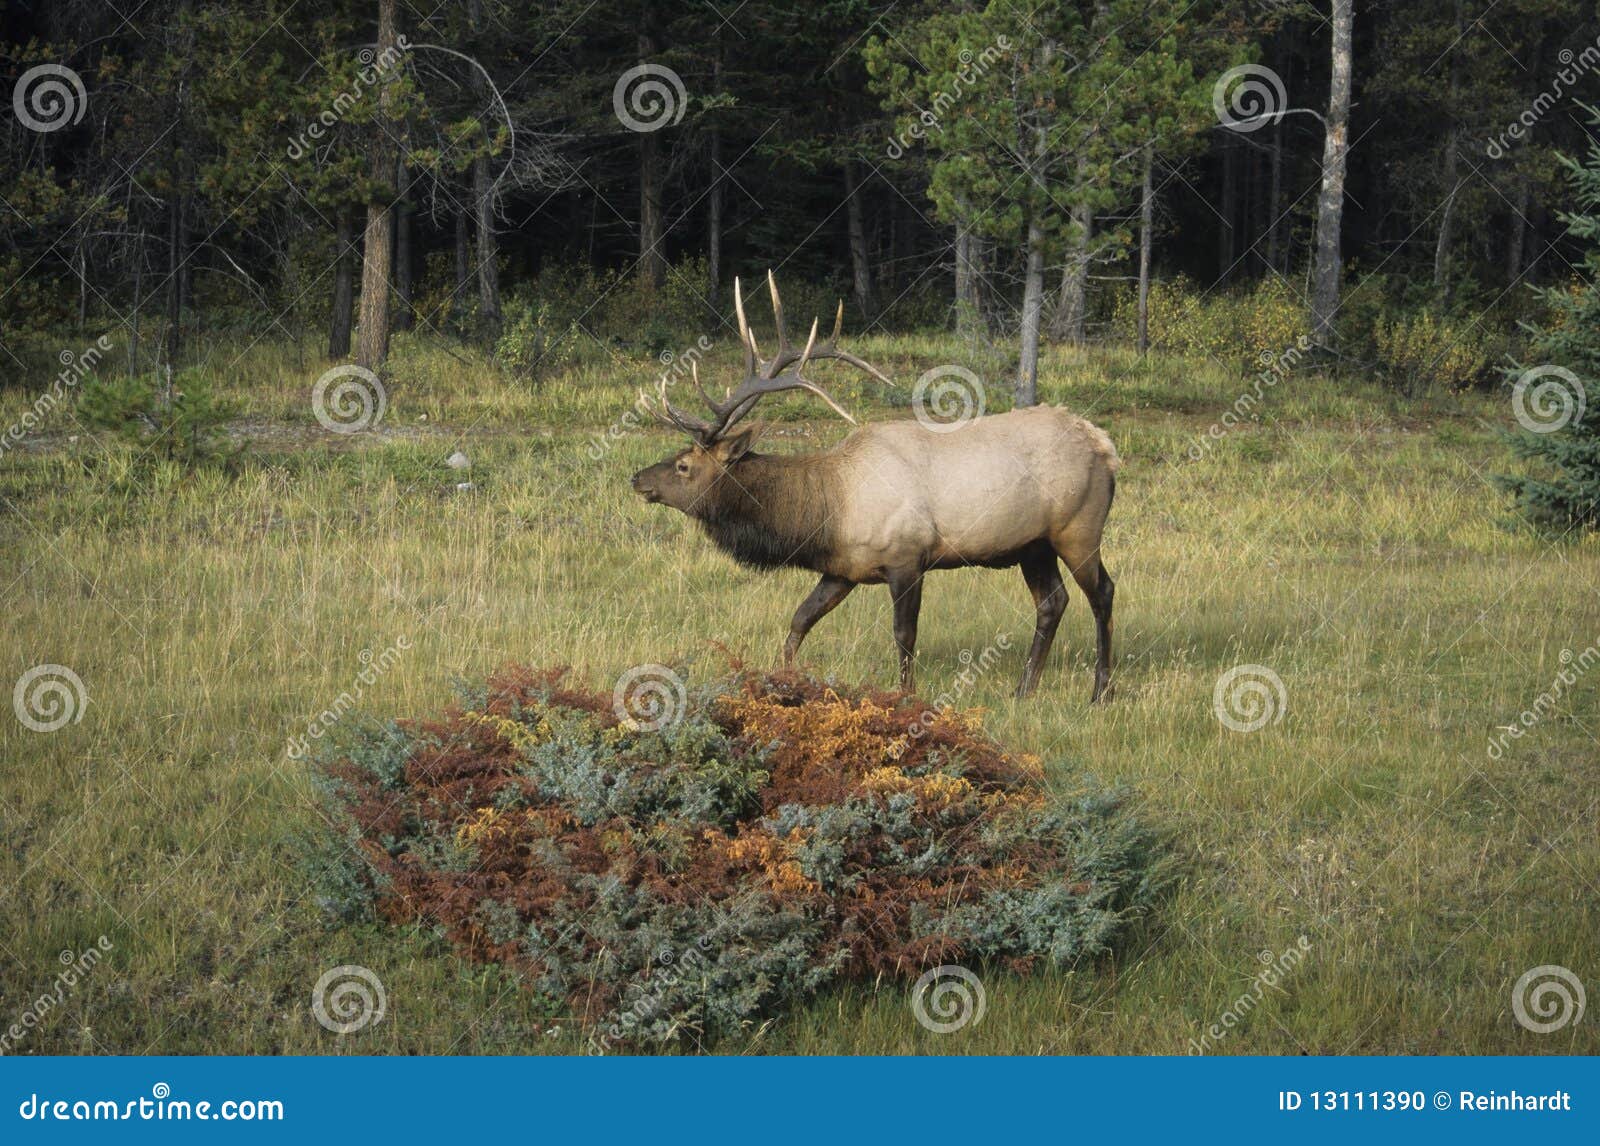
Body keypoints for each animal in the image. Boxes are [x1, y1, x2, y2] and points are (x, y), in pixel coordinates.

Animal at [629, 272, 1120, 702]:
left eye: (683, 465)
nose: (637, 478)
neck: (826, 511)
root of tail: (1105, 445)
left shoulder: (907, 556)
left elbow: (904, 635)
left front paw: (907, 696)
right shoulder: (843, 568)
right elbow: (799, 622)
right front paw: (784, 680)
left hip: (1078, 529)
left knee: (1103, 592)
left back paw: (1100, 692)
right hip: (1033, 544)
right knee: (1053, 602)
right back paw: (1024, 690)